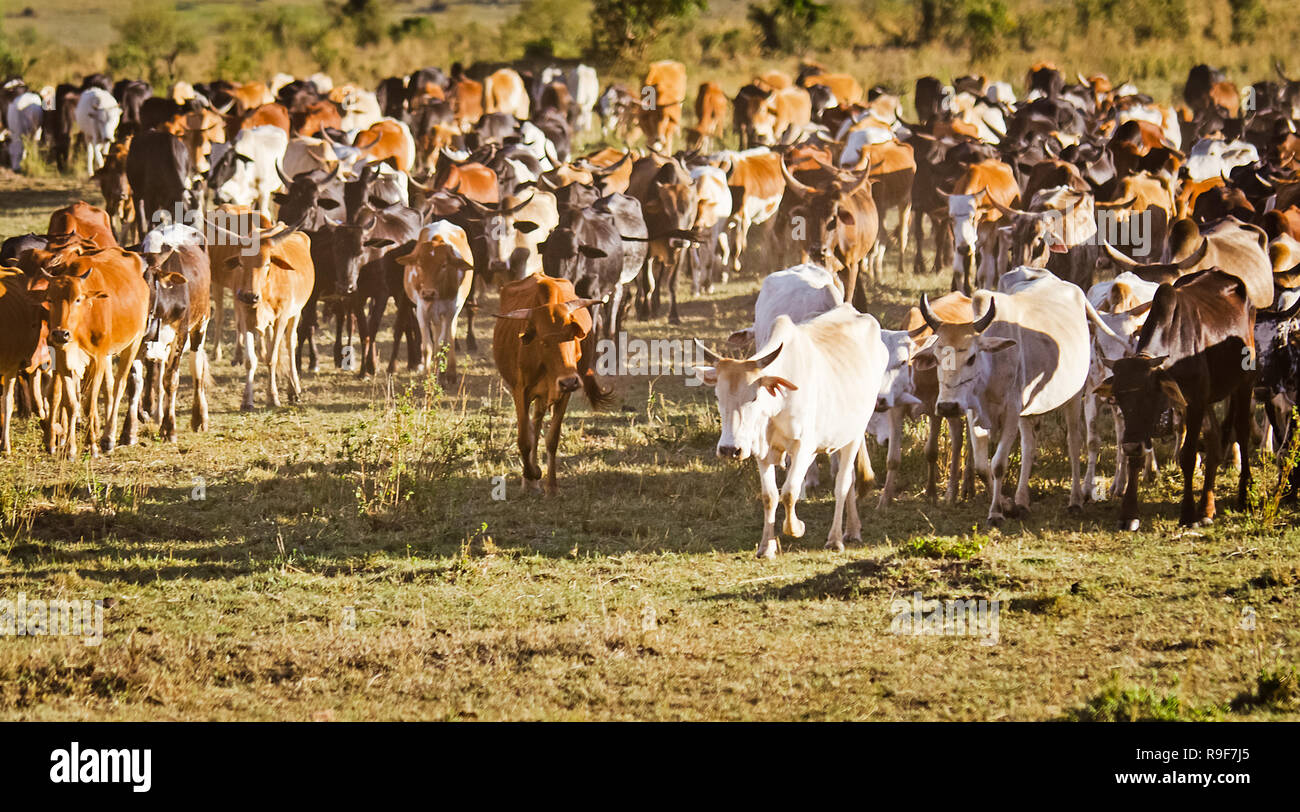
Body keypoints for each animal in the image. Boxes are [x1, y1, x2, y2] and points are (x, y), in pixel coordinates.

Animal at [493, 274, 609, 494]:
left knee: (537, 422)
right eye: (543, 341)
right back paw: (529, 480)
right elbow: (524, 440)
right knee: (533, 427)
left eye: (571, 336)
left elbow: (552, 439)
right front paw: (532, 474)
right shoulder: (520, 392)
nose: (569, 381)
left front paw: (551, 486)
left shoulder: (564, 394)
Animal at [694, 303, 888, 558]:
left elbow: (789, 492)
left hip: (854, 435)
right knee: (852, 480)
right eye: (718, 396)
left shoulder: (804, 449)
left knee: (843, 484)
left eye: (754, 396)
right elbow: (770, 496)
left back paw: (835, 538)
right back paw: (853, 530)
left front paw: (796, 528)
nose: (729, 449)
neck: (777, 406)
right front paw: (766, 546)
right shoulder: (761, 452)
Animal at [1093, 270, 1256, 530]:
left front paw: (1188, 514)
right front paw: (1129, 514)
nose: (1129, 444)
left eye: (1149, 395)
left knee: (1241, 430)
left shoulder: (1195, 403)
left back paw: (1243, 495)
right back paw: (1207, 509)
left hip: (1244, 383)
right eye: (1119, 397)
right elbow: (1136, 457)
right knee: (1214, 438)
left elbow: (1188, 455)